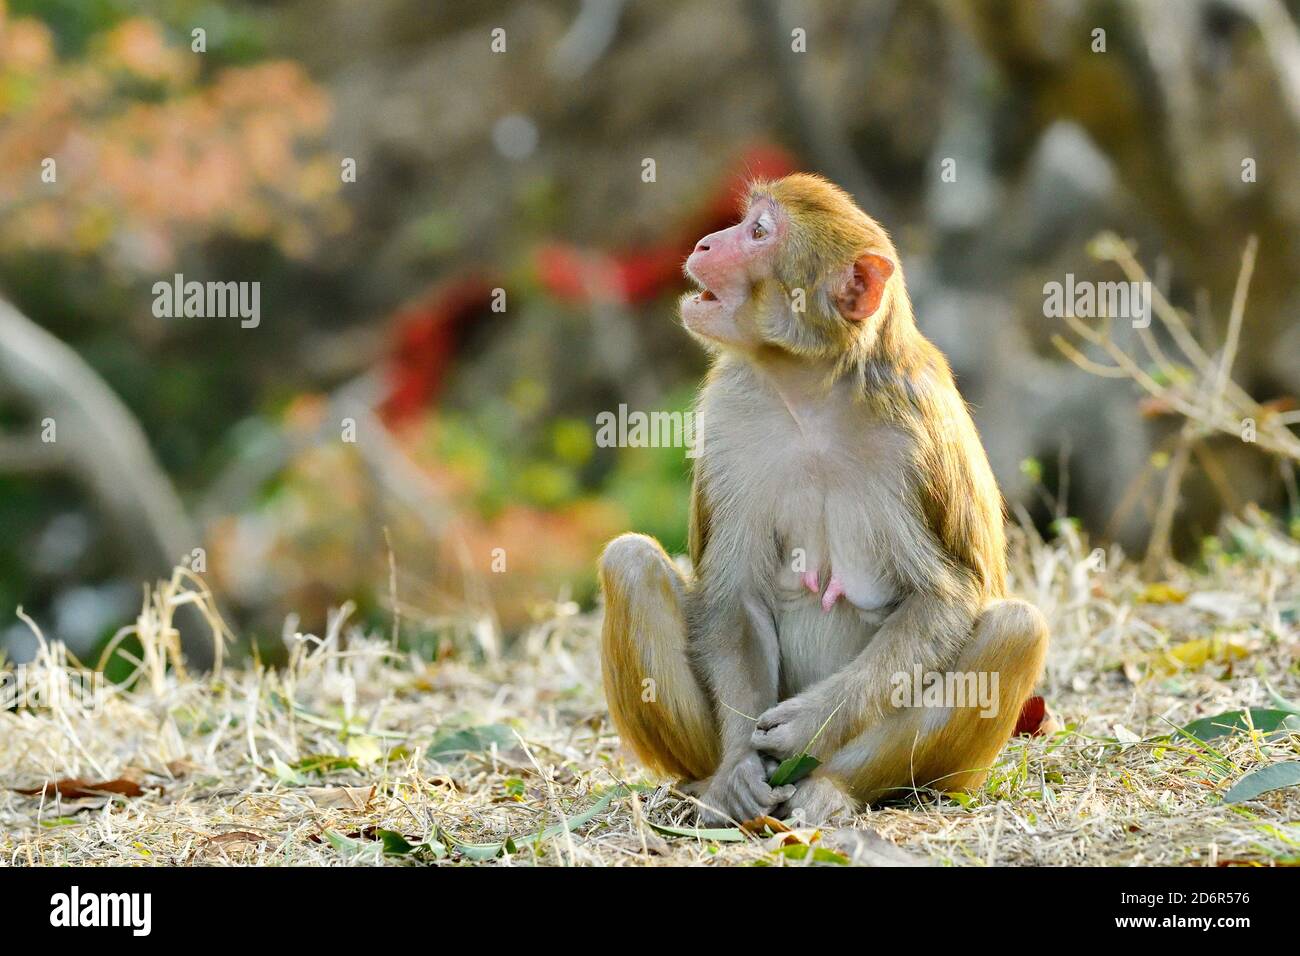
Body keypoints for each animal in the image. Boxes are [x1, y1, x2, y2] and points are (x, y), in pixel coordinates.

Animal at [598, 173, 1049, 826]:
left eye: (759, 232)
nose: (706, 243)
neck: (809, 390)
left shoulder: (917, 426)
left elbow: (946, 596)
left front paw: (810, 722)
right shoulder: (729, 414)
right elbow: (735, 595)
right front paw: (740, 769)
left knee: (1017, 628)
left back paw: (833, 787)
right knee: (629, 562)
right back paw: (714, 784)